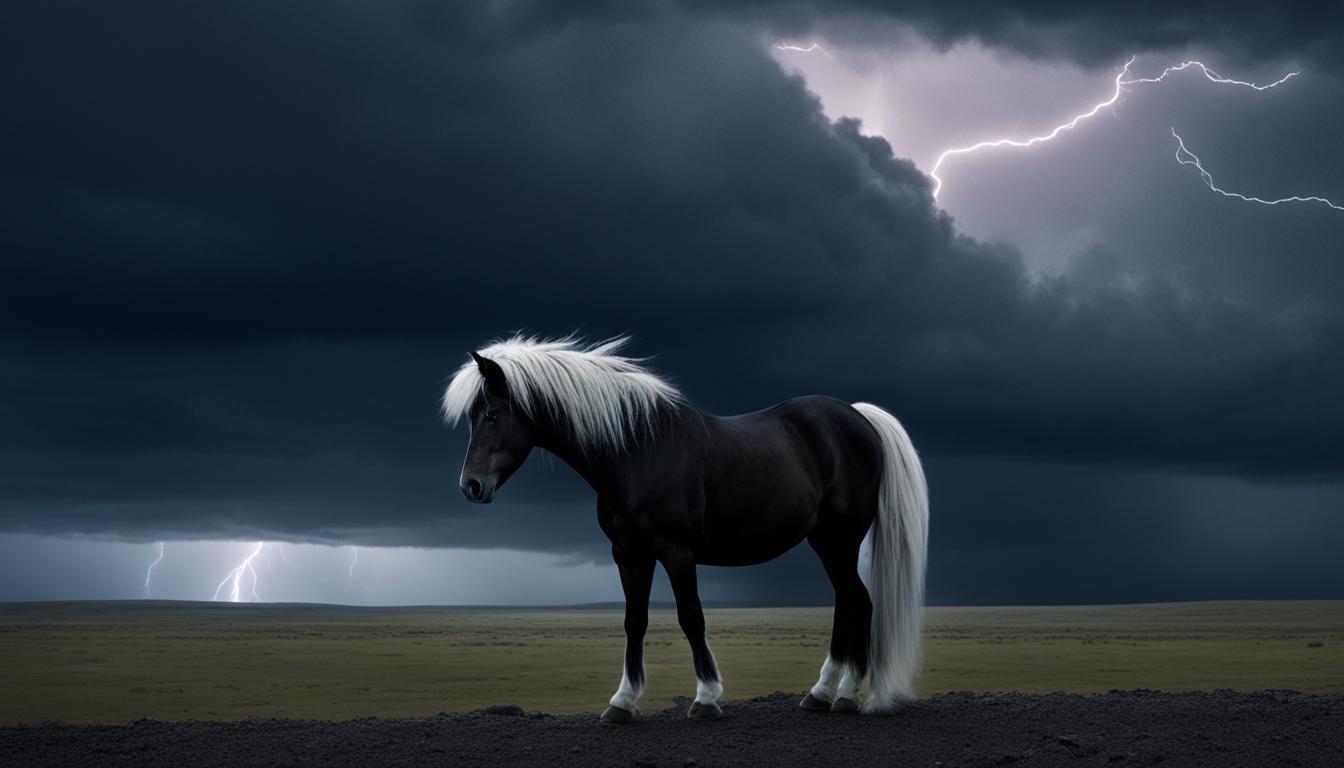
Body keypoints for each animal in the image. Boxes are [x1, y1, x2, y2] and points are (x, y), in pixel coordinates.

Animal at [442, 335, 929, 722]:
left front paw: (707, 699)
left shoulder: (676, 552)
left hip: (839, 539)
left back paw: (844, 696)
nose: (471, 485)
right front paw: (622, 703)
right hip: (825, 542)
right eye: (474, 416)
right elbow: (634, 621)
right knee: (846, 602)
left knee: (858, 602)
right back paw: (820, 694)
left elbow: (691, 618)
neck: (638, 451)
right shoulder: (628, 554)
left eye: (492, 413)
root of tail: (857, 417)